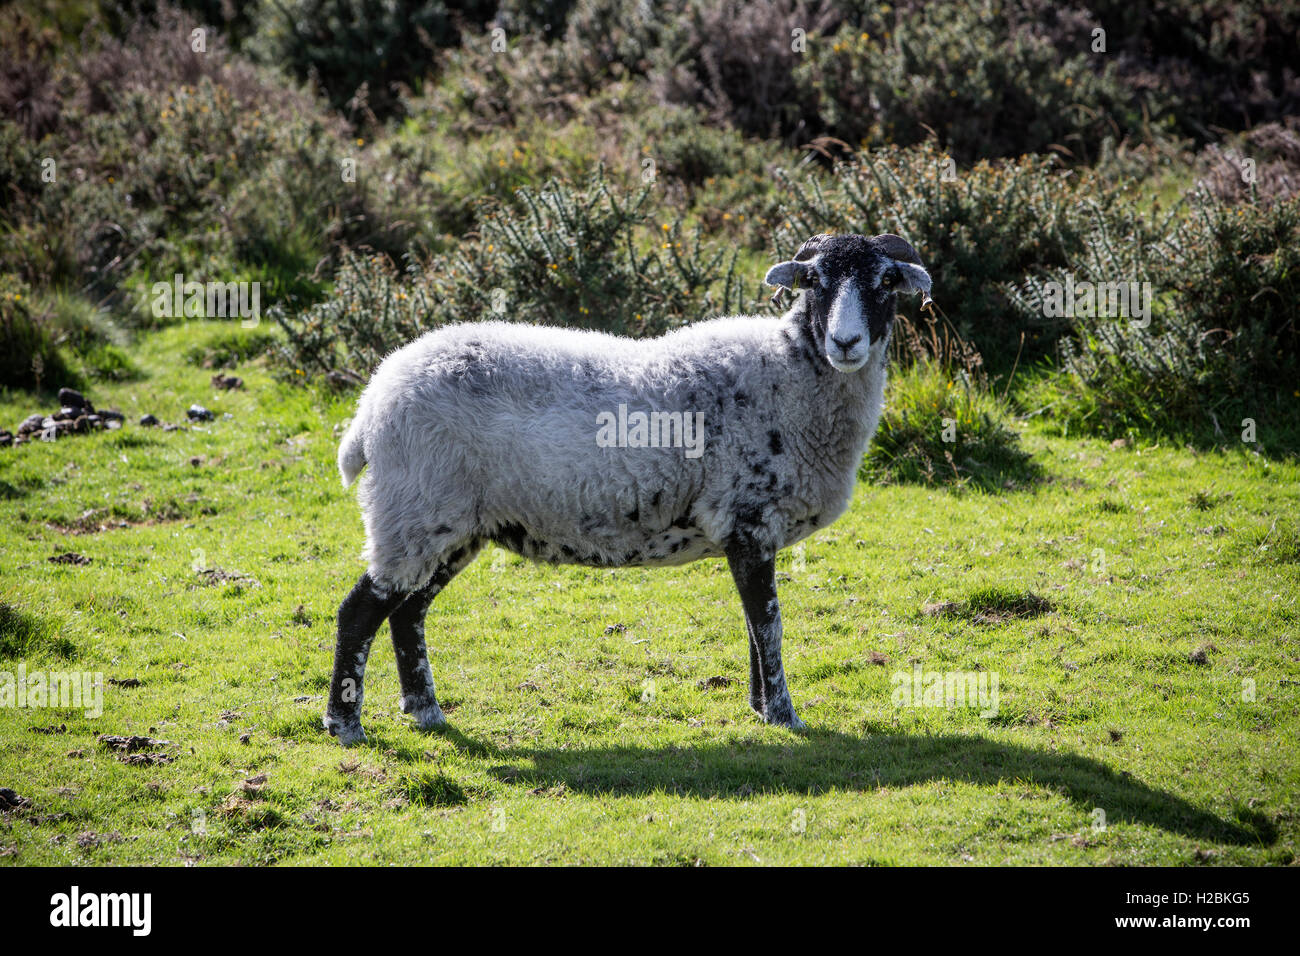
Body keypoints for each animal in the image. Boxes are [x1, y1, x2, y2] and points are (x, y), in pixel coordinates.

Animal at [324, 232, 933, 744]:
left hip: (452, 525)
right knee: (360, 611)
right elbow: (769, 624)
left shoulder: (745, 534)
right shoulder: (749, 521)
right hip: (413, 510)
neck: (791, 374)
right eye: (814, 281)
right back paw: (345, 723)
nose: (846, 342)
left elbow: (753, 625)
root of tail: (373, 401)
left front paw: (761, 707)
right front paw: (785, 715)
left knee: (408, 612)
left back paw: (425, 710)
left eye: (885, 281)